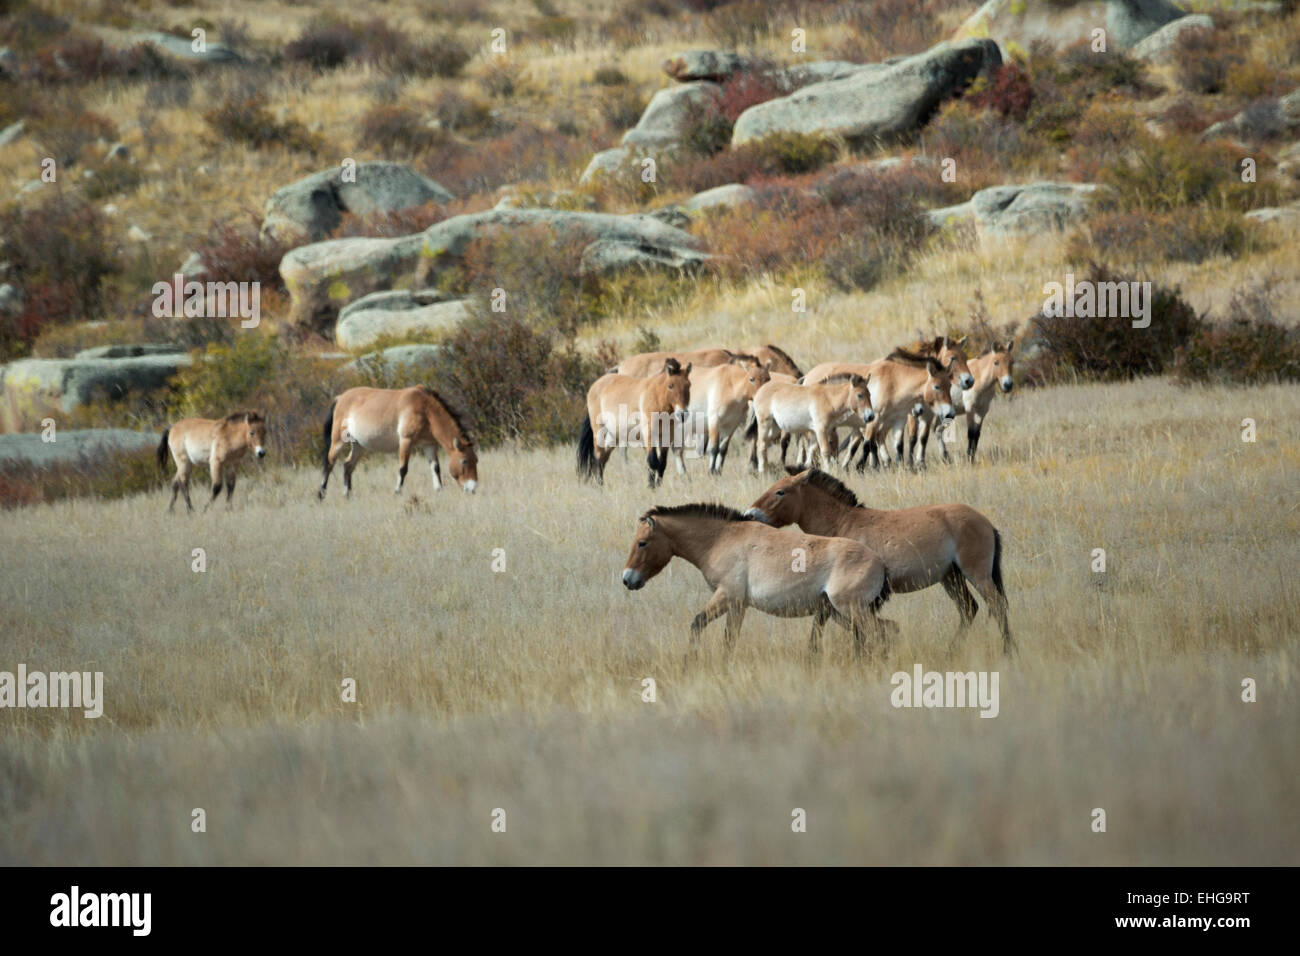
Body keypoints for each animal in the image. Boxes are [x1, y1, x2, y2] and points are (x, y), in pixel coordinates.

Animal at [319, 386, 478, 500]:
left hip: (358, 445)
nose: (472, 488)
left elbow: (435, 468)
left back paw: (347, 495)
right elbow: (403, 469)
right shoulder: (406, 441)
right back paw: (321, 495)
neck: (425, 408)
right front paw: (397, 492)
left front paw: (439, 490)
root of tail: (339, 398)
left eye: (476, 460)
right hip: (338, 441)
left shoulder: (429, 444)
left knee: (348, 465)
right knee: (329, 463)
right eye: (464, 461)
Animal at [577, 358, 692, 487]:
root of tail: (595, 385)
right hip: (599, 433)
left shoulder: (666, 436)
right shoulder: (648, 434)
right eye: (671, 386)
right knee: (597, 458)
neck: (657, 397)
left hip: (613, 436)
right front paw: (651, 488)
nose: (682, 414)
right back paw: (599, 487)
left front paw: (657, 486)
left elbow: (662, 464)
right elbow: (652, 461)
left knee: (602, 459)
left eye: (688, 385)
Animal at [620, 503, 892, 658]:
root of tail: (880, 563)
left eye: (642, 543)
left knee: (878, 635)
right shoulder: (738, 606)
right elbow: (729, 639)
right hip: (840, 613)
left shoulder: (726, 596)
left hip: (850, 610)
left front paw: (691, 661)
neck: (721, 539)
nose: (627, 579)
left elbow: (698, 624)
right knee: (885, 632)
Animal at [745, 467, 1014, 655]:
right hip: (951, 577)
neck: (842, 523)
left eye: (780, 491)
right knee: (969, 610)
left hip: (976, 574)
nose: (749, 514)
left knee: (997, 606)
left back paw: (1008, 651)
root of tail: (986, 523)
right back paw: (952, 651)